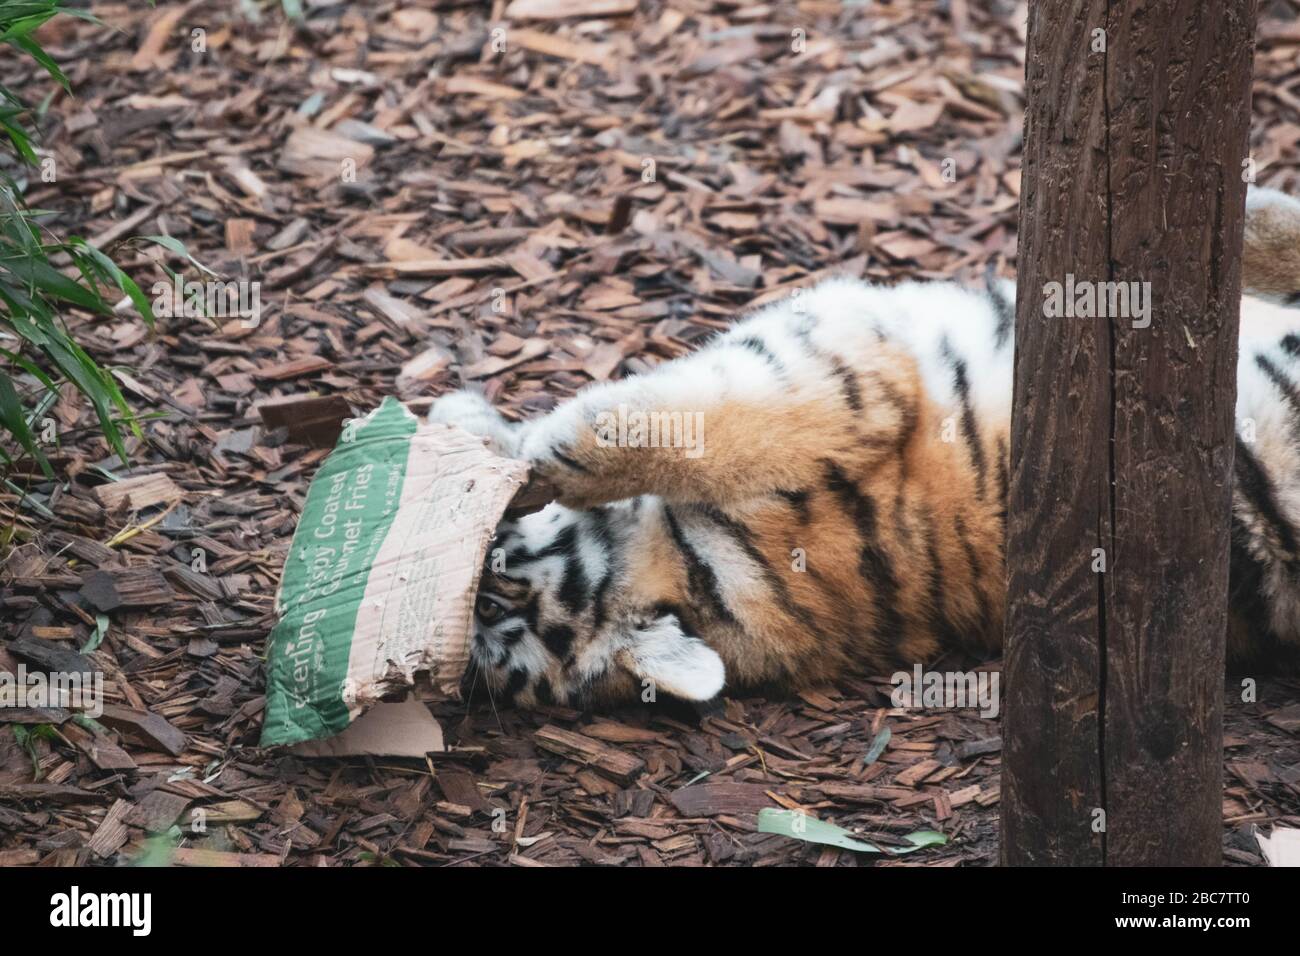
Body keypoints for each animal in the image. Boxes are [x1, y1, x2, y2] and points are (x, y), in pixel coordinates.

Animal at [429, 185, 1300, 710]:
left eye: (493, 602)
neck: (685, 559)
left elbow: (661, 423)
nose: (470, 574)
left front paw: (489, 431)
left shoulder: (842, 370)